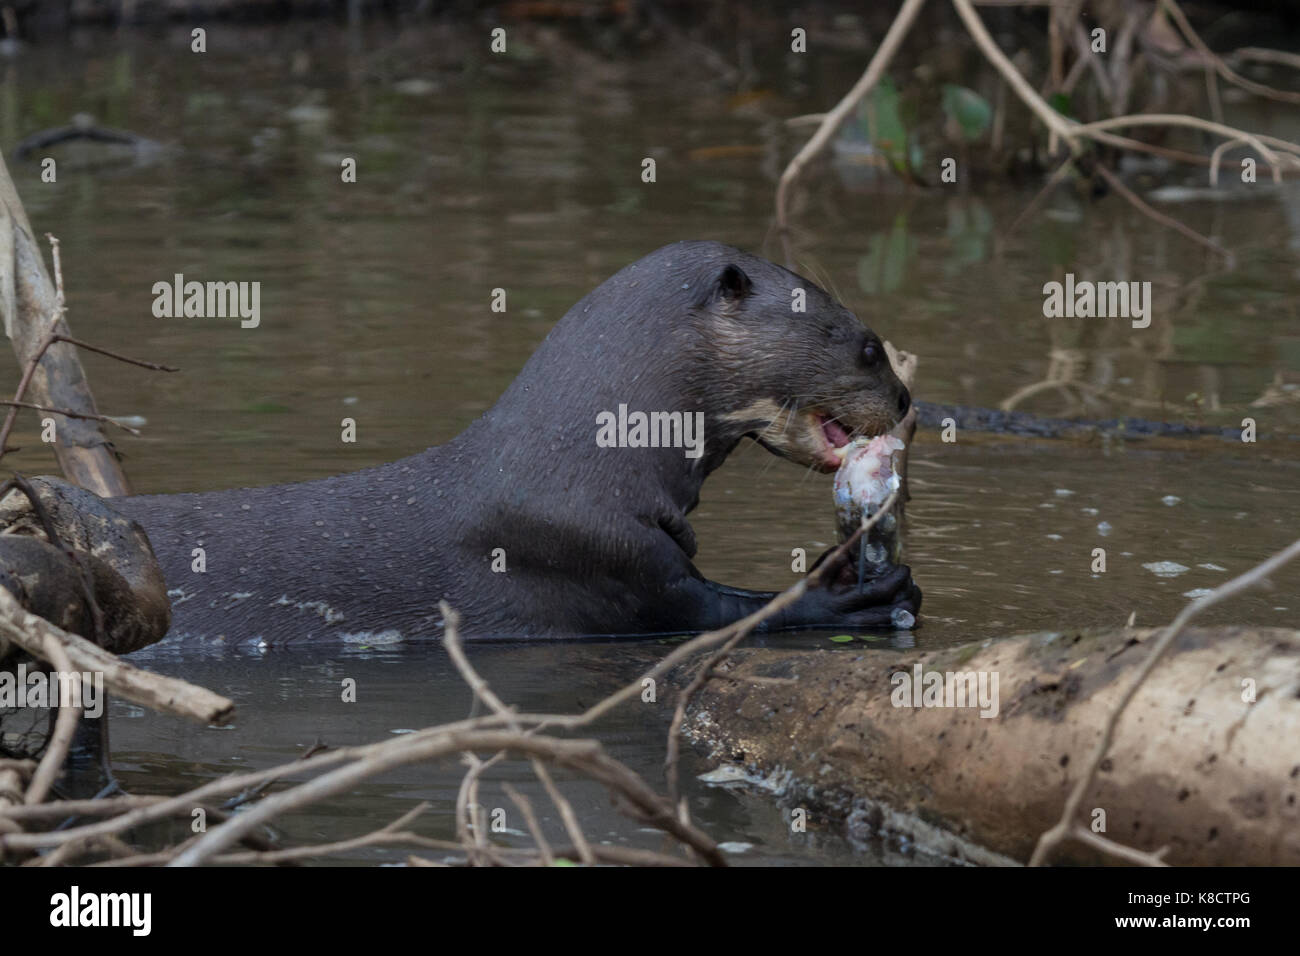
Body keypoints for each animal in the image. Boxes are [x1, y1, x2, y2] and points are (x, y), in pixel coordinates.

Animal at [110, 241, 920, 644]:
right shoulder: (602, 552)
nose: (908, 400)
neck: (583, 460)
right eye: (868, 346)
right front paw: (853, 596)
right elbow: (719, 613)